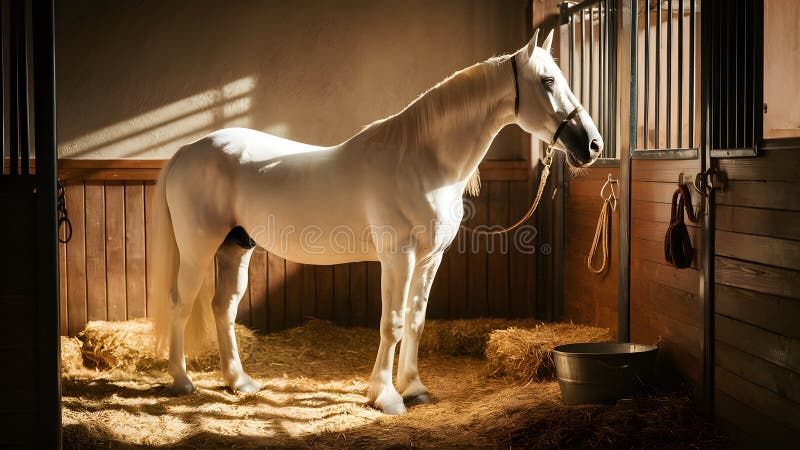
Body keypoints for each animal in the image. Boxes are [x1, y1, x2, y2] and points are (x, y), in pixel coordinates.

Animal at [148, 28, 603, 415]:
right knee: (180, 302)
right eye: (547, 80)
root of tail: (188, 149)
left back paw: (238, 381)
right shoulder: (399, 257)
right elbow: (393, 323)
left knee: (223, 306)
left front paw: (414, 388)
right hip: (198, 248)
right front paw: (385, 396)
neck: (421, 162)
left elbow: (416, 322)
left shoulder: (429, 260)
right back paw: (182, 381)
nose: (593, 144)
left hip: (235, 246)